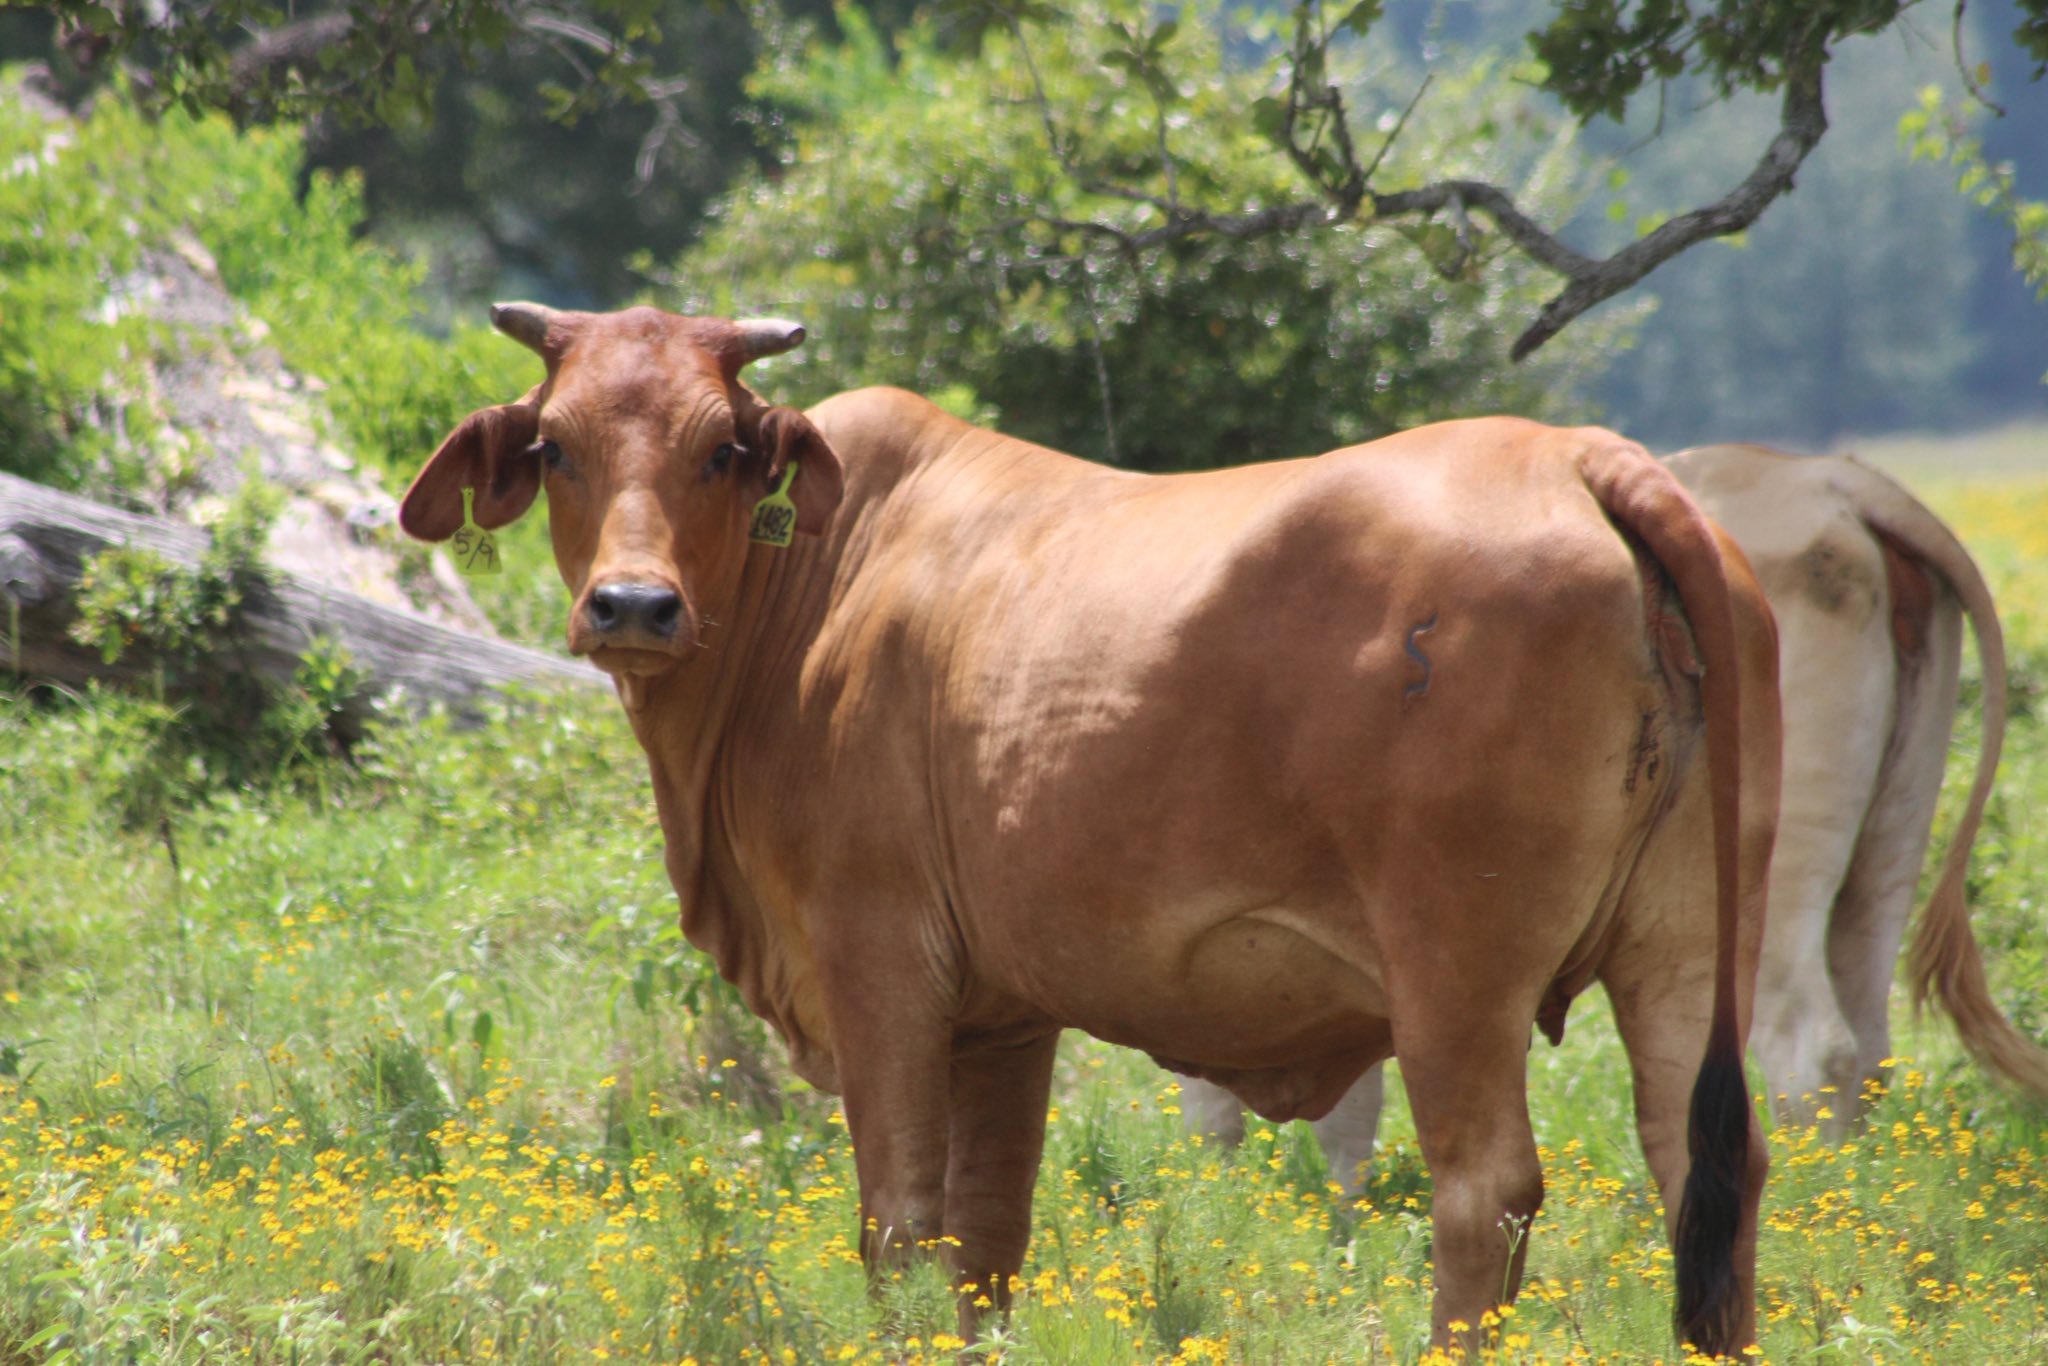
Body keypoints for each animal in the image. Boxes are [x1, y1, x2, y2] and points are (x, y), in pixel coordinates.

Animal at [397, 303, 1780, 1357]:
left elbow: (898, 1220)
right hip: (1684, 952)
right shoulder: (1002, 1012)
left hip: (1455, 973)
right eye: (558, 446)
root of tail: (1582, 459)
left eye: (724, 450)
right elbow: (984, 1236)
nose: (632, 605)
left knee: (1481, 1196)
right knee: (1704, 1173)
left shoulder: (876, 961)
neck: (811, 596)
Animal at [1184, 441, 2048, 1191]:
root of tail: (1831, 478)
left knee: (1813, 1045)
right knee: (1867, 1042)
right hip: (1888, 844)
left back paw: (1813, 1204)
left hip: (1775, 866)